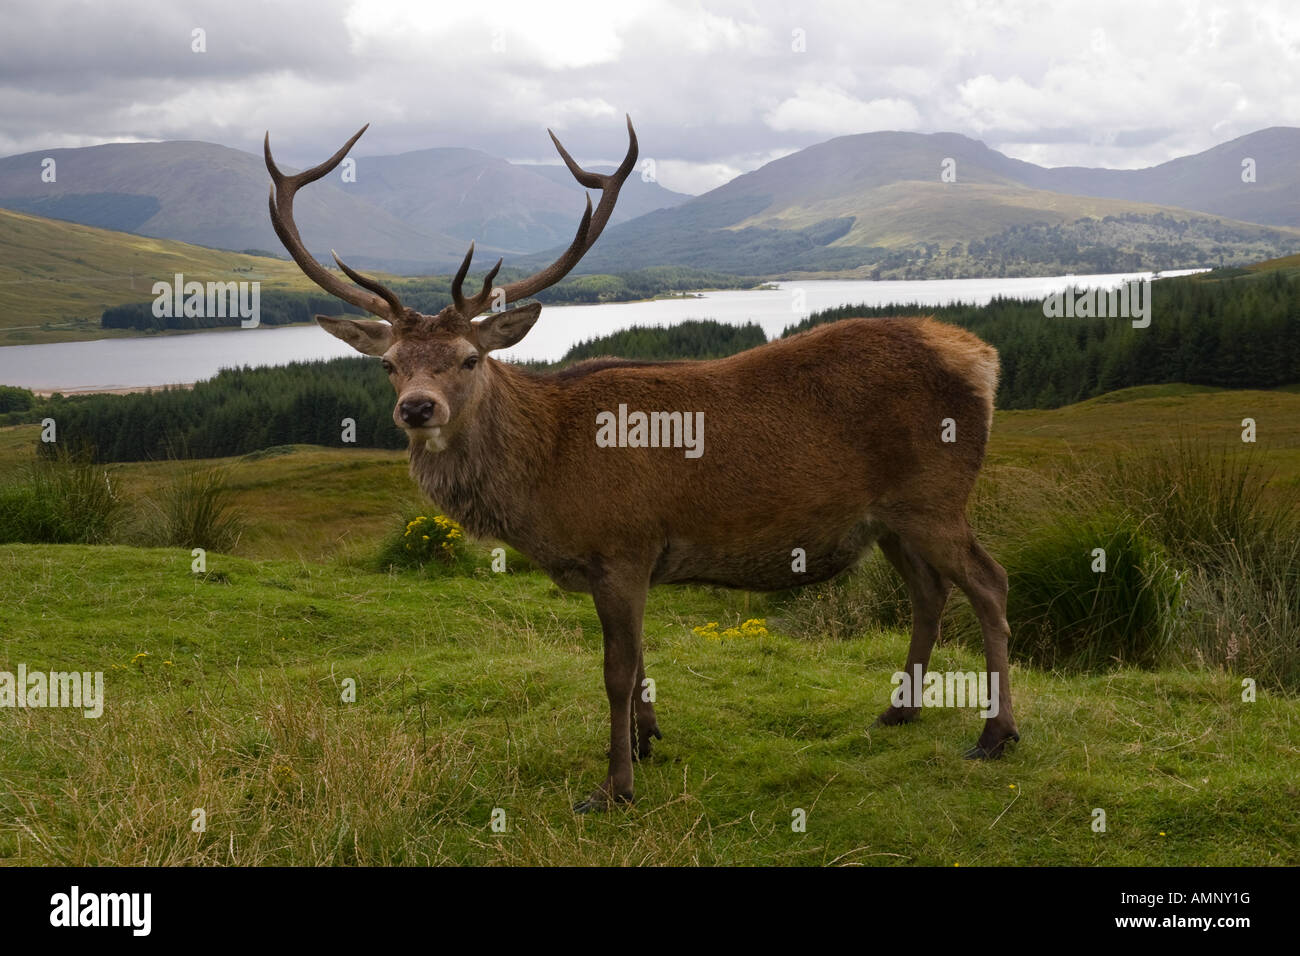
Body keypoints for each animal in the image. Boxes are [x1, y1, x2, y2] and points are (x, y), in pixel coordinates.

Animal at [264, 118, 1019, 812]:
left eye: (470, 358)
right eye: (389, 365)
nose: (417, 409)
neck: (546, 480)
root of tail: (982, 358)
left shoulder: (623, 543)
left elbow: (616, 673)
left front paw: (614, 786)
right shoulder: (634, 557)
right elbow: (640, 662)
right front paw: (645, 740)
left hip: (936, 496)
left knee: (990, 582)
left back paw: (996, 733)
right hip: (890, 519)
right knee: (929, 593)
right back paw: (900, 709)